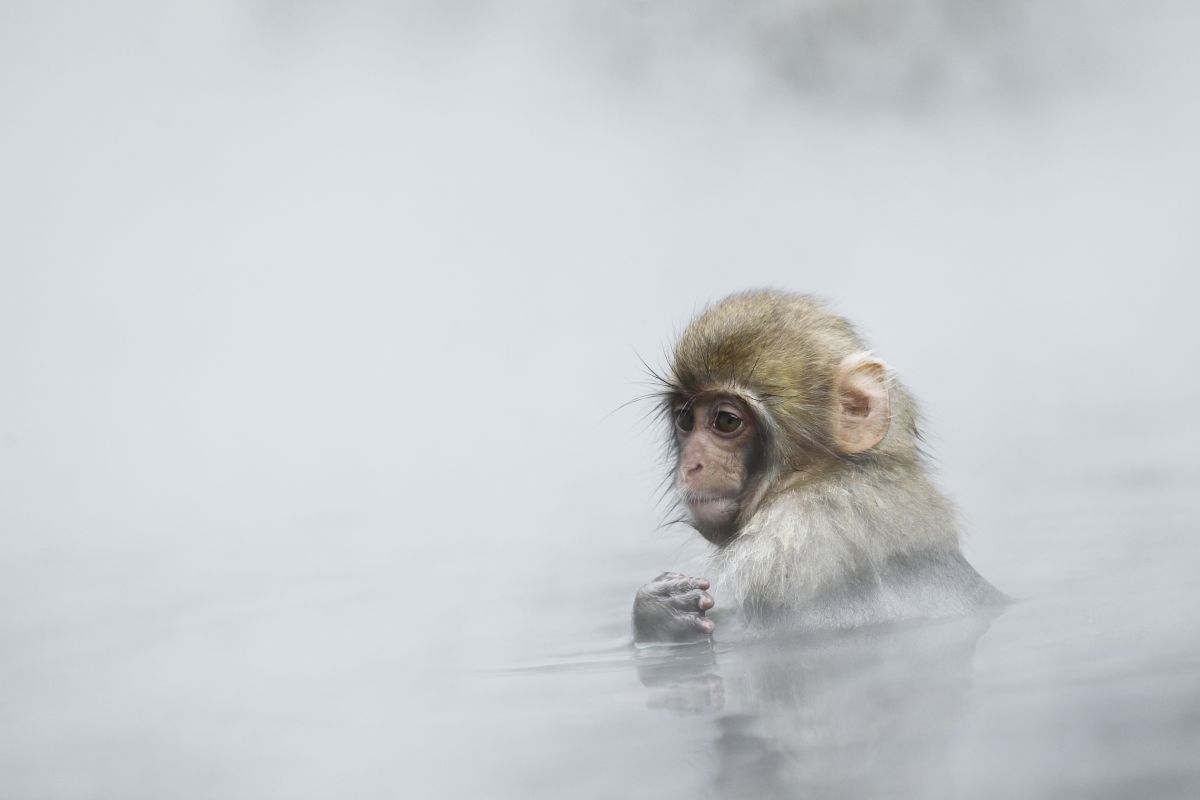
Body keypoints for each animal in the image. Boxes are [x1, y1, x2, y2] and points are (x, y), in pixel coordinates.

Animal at [632, 290, 1005, 643]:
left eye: (726, 421)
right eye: (685, 419)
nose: (691, 465)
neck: (819, 474)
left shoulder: (796, 540)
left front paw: (661, 613)